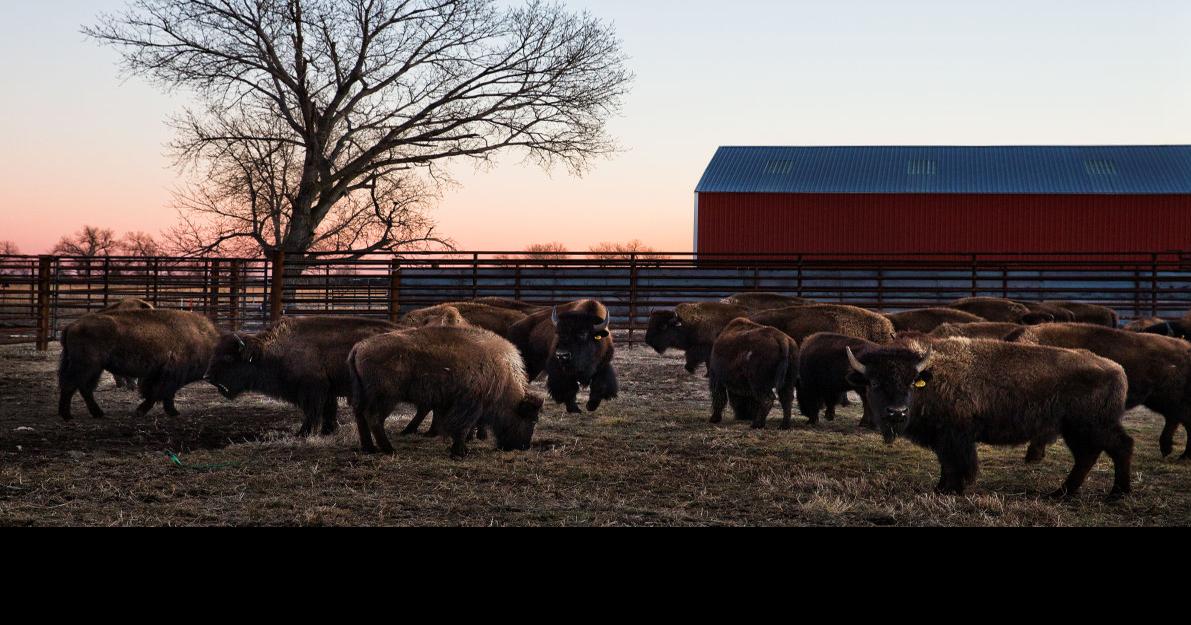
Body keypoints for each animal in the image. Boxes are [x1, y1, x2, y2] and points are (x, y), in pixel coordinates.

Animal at [58, 309, 218, 420]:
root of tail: (71, 325)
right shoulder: (170, 375)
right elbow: (161, 393)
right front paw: (147, 411)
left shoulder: (158, 375)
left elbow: (158, 393)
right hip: (86, 367)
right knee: (71, 386)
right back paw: (67, 415)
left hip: (94, 369)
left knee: (83, 388)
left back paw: (97, 413)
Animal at [204, 316, 399, 437]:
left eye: (229, 358)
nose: (207, 377)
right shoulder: (328, 391)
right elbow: (328, 411)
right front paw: (328, 431)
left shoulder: (313, 390)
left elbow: (312, 412)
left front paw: (302, 433)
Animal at [348, 325, 544, 458]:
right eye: (532, 420)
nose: (523, 447)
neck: (503, 378)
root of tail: (359, 347)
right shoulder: (470, 404)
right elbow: (462, 427)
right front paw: (460, 452)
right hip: (387, 398)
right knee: (374, 418)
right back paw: (389, 449)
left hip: (364, 396)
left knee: (360, 416)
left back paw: (369, 448)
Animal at [846, 337, 1133, 499]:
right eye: (874, 383)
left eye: (910, 382)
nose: (897, 412)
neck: (931, 377)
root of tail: (1117, 368)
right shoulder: (943, 439)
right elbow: (946, 464)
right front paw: (940, 489)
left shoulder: (956, 437)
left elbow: (958, 464)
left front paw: (953, 490)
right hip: (1075, 430)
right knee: (1088, 456)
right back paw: (1061, 493)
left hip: (1091, 426)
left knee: (1120, 446)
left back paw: (1117, 494)